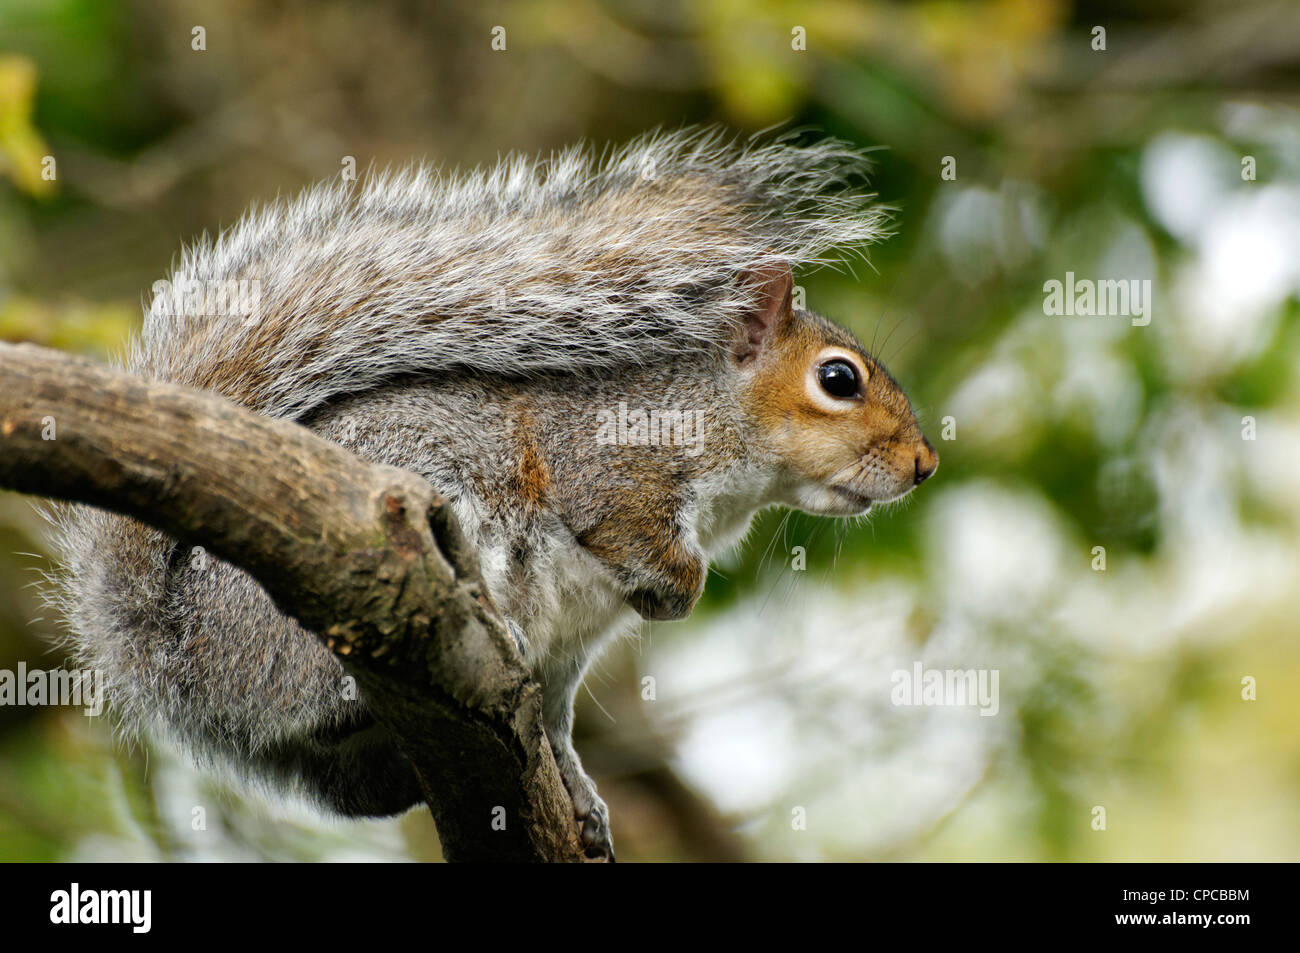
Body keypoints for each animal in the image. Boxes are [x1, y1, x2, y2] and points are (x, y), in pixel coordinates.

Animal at [44, 128, 937, 860]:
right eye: (837, 380)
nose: (925, 463)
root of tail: (176, 647)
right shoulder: (604, 468)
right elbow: (623, 527)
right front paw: (679, 588)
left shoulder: (572, 649)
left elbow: (560, 730)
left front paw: (582, 796)